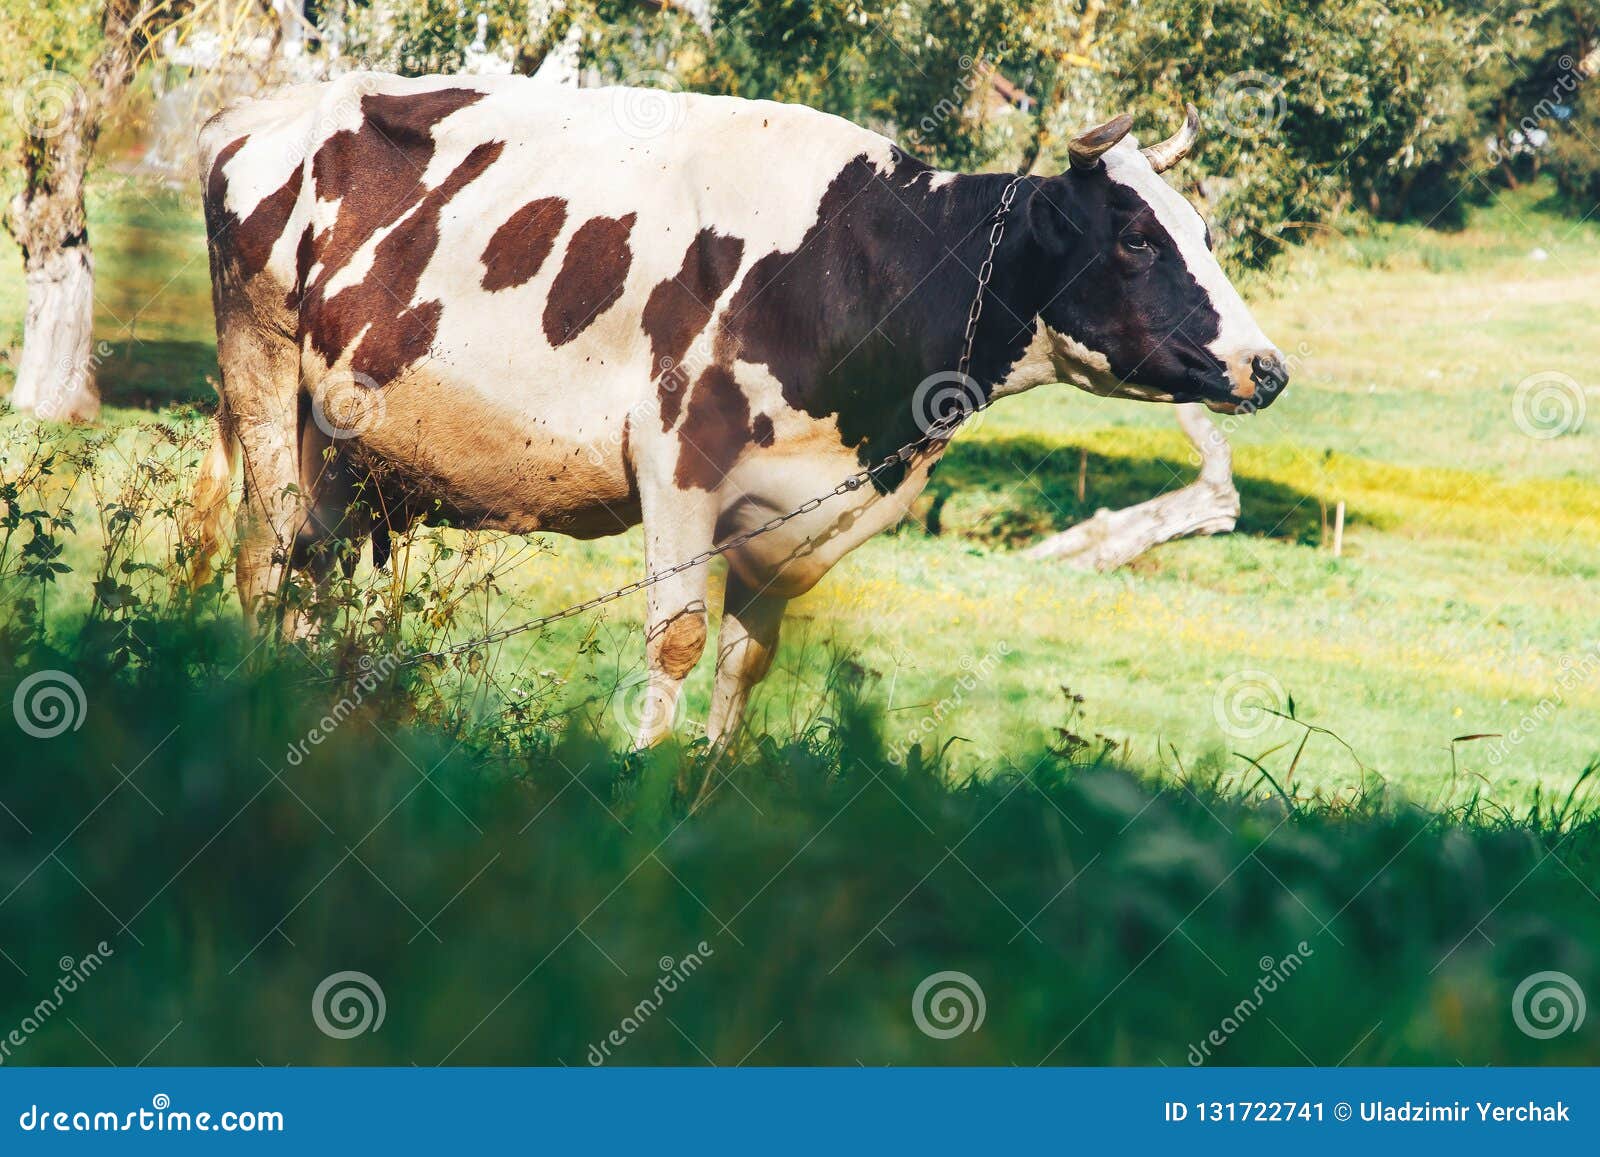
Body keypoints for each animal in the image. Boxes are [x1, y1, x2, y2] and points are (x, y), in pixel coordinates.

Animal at [191, 73, 1289, 747]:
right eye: (1137, 240)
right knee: (265, 551)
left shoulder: (796, 515)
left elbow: (746, 662)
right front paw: (638, 798)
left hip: (347, 438)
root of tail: (268, 111)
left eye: (1203, 229)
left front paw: (699, 804)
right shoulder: (681, 461)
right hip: (261, 366)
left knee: (321, 573)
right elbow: (676, 639)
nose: (1266, 366)